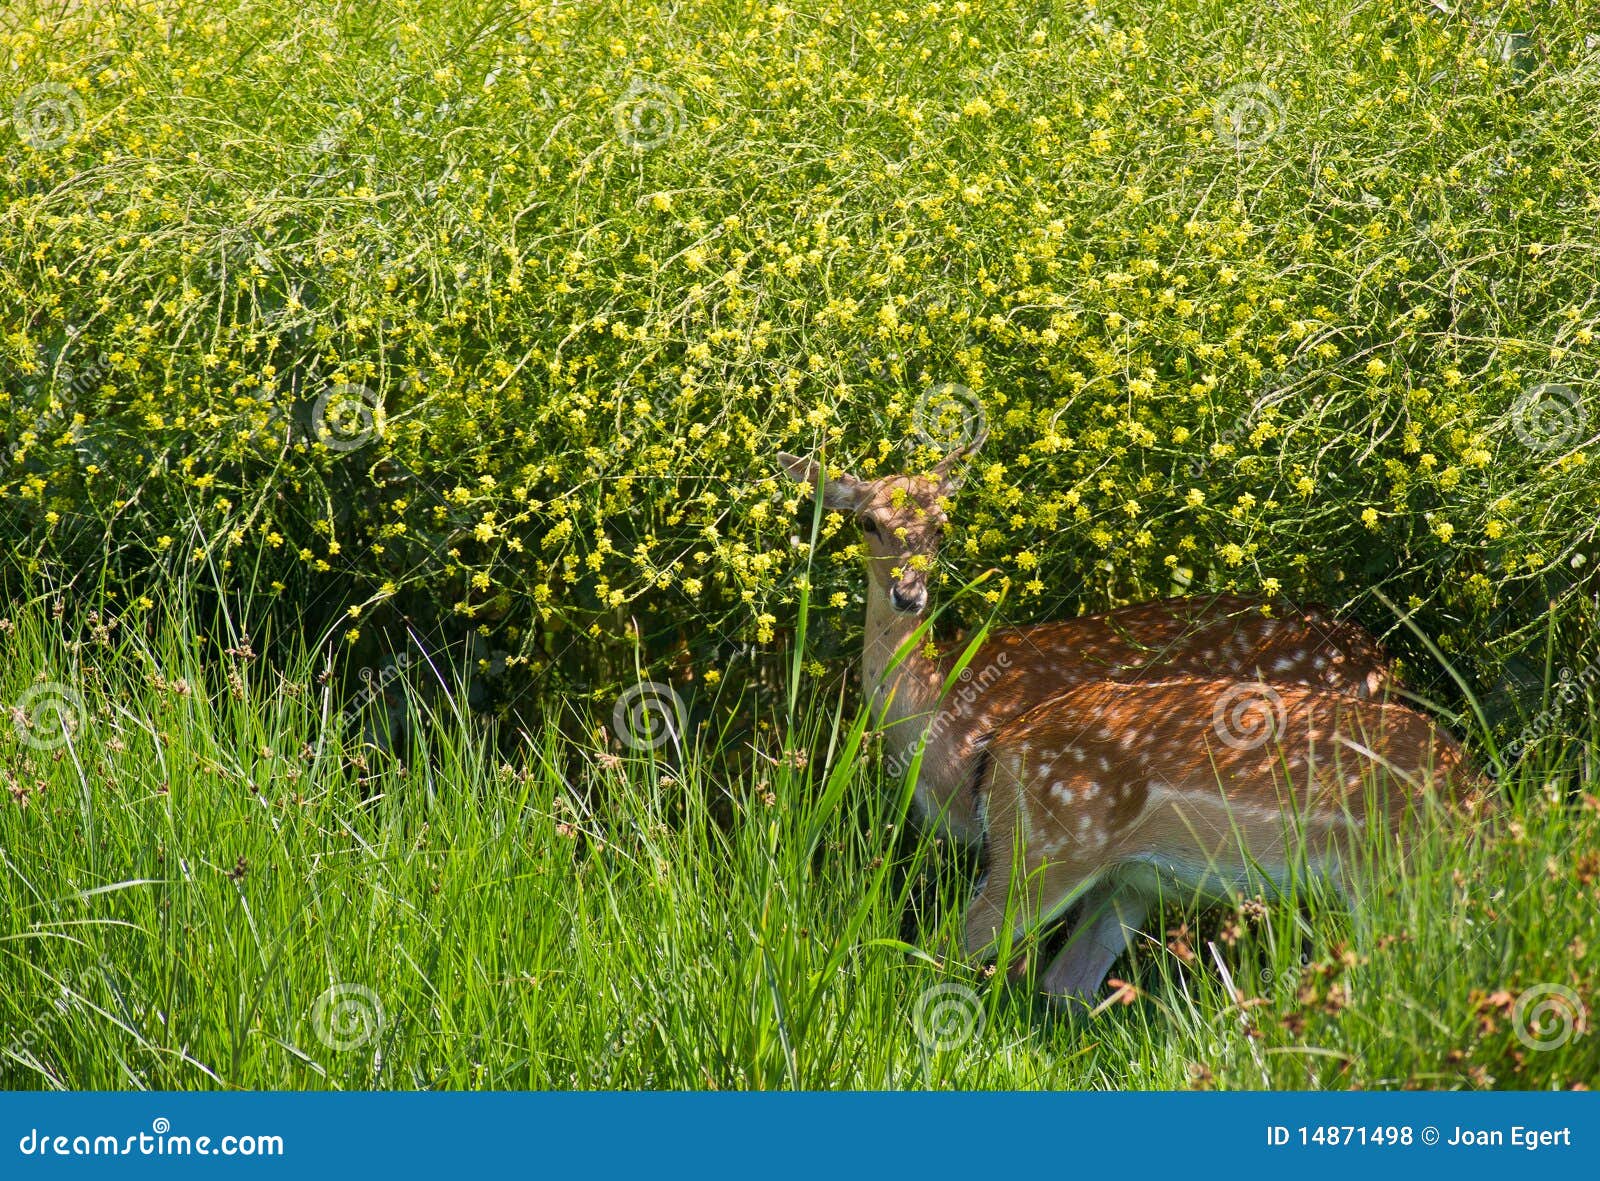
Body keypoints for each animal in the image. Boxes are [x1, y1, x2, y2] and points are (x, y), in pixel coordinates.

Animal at [963, 675, 1486, 1005]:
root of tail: (999, 742)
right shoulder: (1375, 876)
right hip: (1044, 852)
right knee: (957, 939)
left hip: (1126, 882)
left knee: (1065, 979)